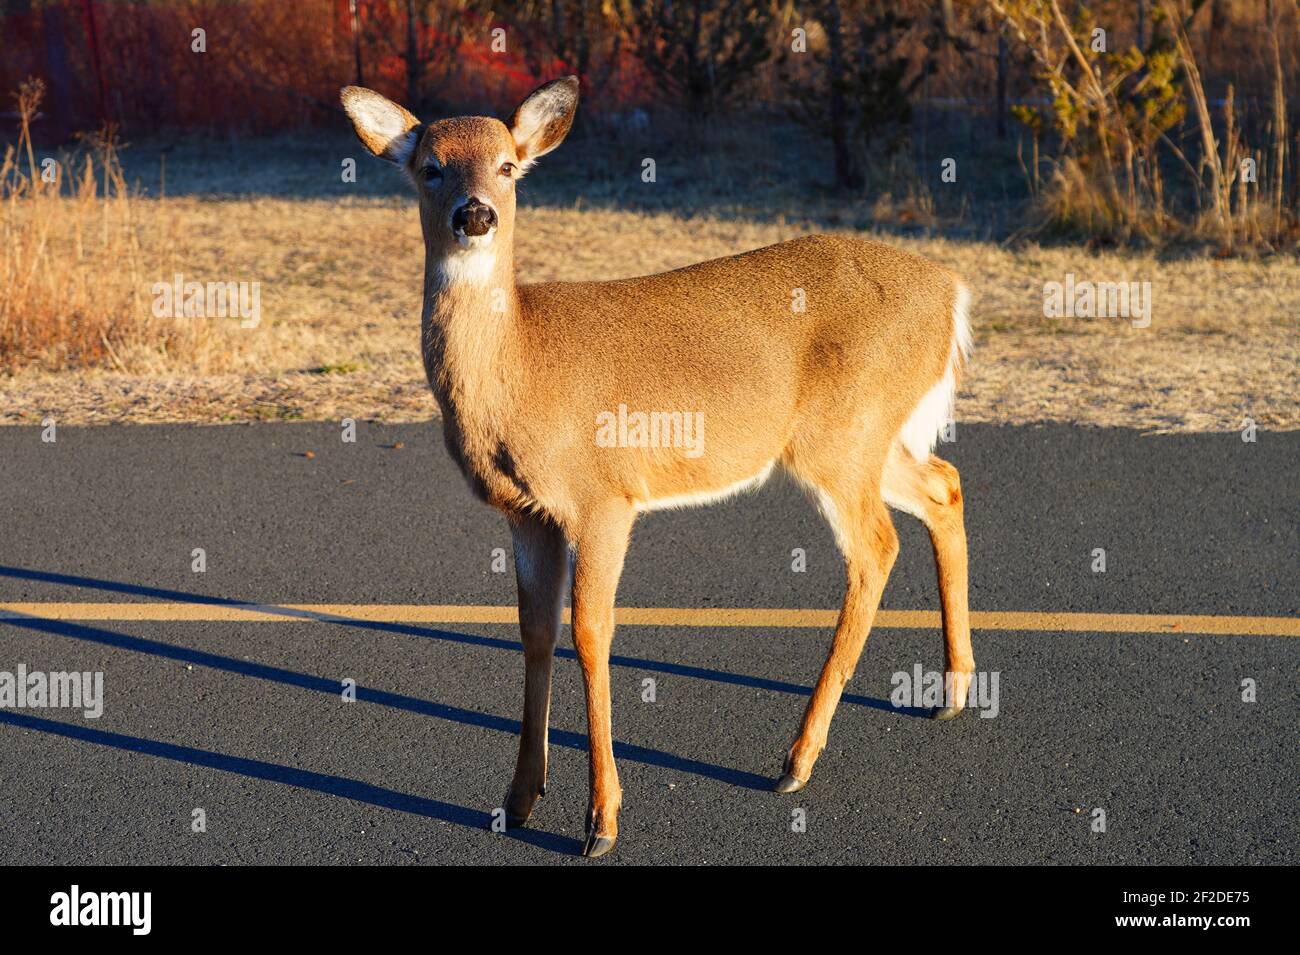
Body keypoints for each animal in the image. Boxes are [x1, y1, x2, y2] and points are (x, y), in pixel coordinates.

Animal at [341, 77, 975, 858]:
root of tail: (953, 294)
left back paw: (796, 760)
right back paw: (952, 693)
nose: (476, 214)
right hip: (869, 441)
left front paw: (601, 821)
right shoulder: (527, 513)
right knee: (945, 487)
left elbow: (591, 634)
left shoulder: (604, 495)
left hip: (840, 435)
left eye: (508, 166)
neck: (520, 365)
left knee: (876, 547)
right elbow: (533, 631)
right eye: (430, 167)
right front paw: (519, 798)